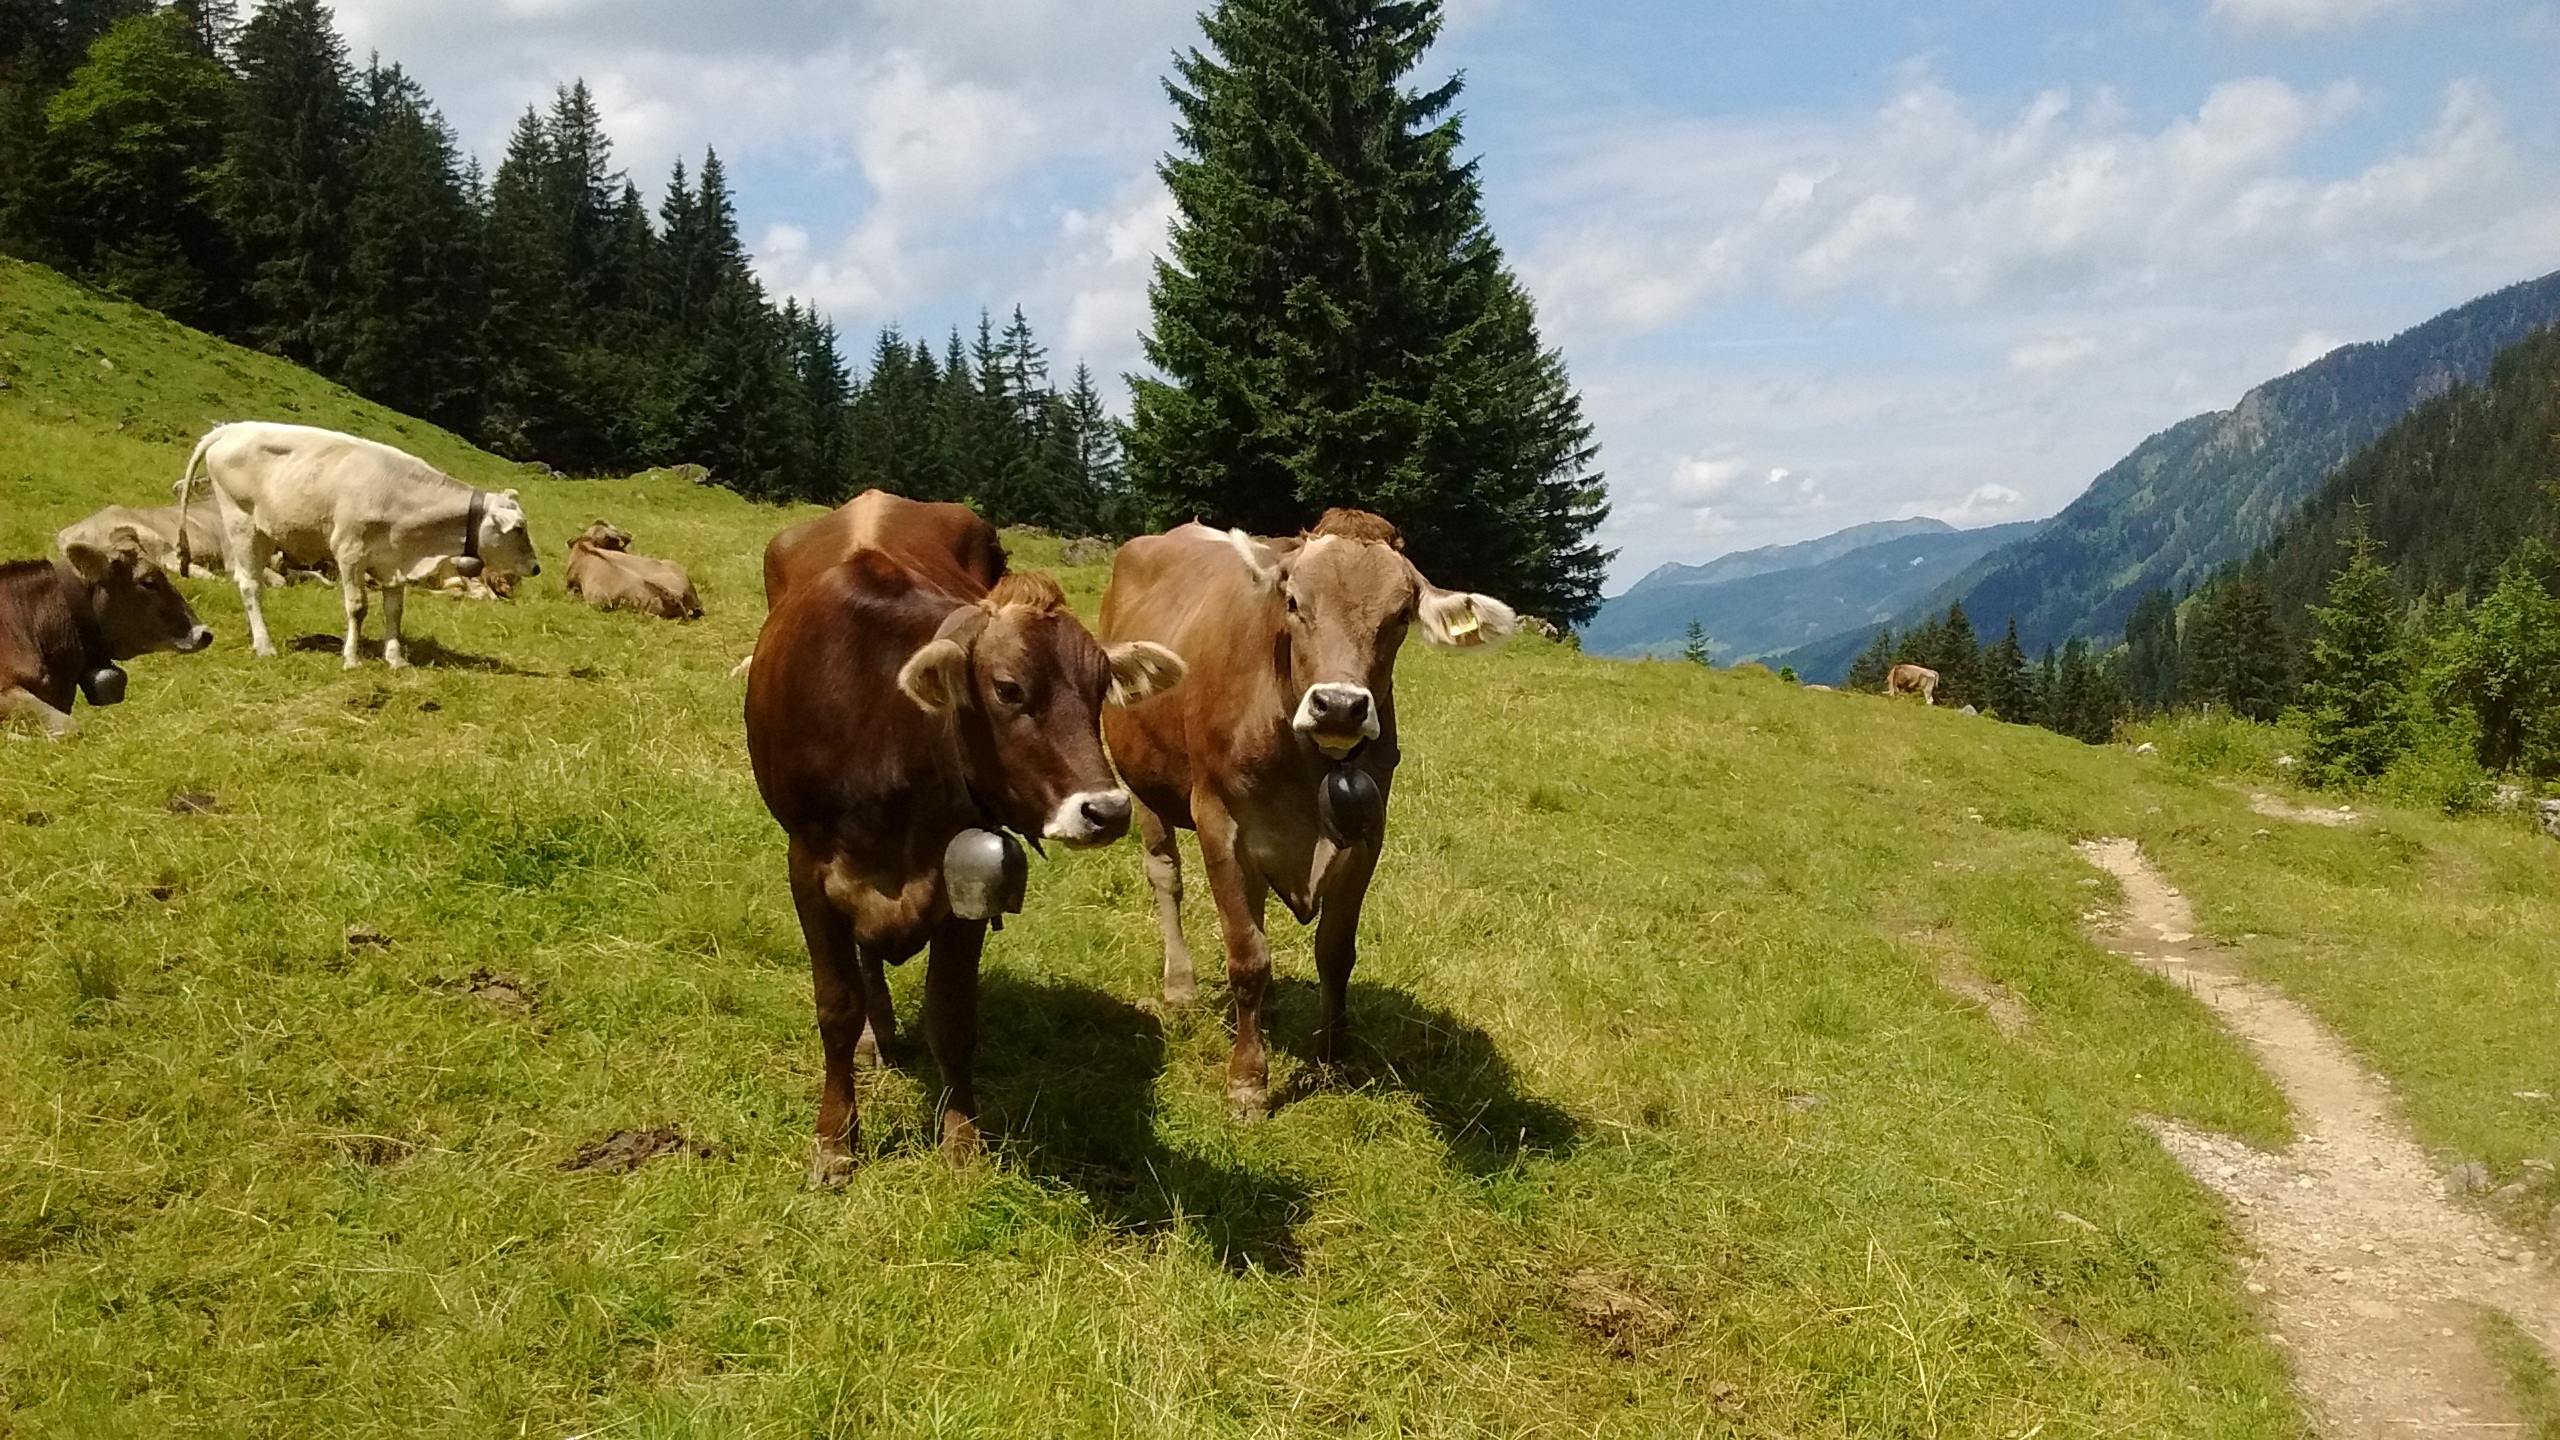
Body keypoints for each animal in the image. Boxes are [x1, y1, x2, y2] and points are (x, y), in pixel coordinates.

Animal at [176, 422, 540, 669]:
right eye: (519, 529)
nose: (535, 567)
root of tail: (230, 428)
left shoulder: (394, 560)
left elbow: (394, 610)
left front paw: (395, 658)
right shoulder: (349, 552)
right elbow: (357, 606)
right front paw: (352, 657)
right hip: (243, 524)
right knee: (250, 584)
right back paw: (264, 645)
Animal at [745, 507, 1184, 1181]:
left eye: (1100, 687)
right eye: (1008, 688)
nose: (1106, 811)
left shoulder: (964, 879)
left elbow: (952, 1016)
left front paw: (963, 1140)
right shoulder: (808, 871)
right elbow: (837, 1007)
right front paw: (835, 1140)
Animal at [1100, 509, 1516, 1120]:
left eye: (1400, 616)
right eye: (1293, 601)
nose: (1339, 706)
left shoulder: (1367, 834)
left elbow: (1335, 953)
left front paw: (1336, 1059)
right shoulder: (1218, 822)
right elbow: (1247, 956)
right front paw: (1248, 1082)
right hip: (1145, 781)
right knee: (1165, 877)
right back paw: (1180, 987)